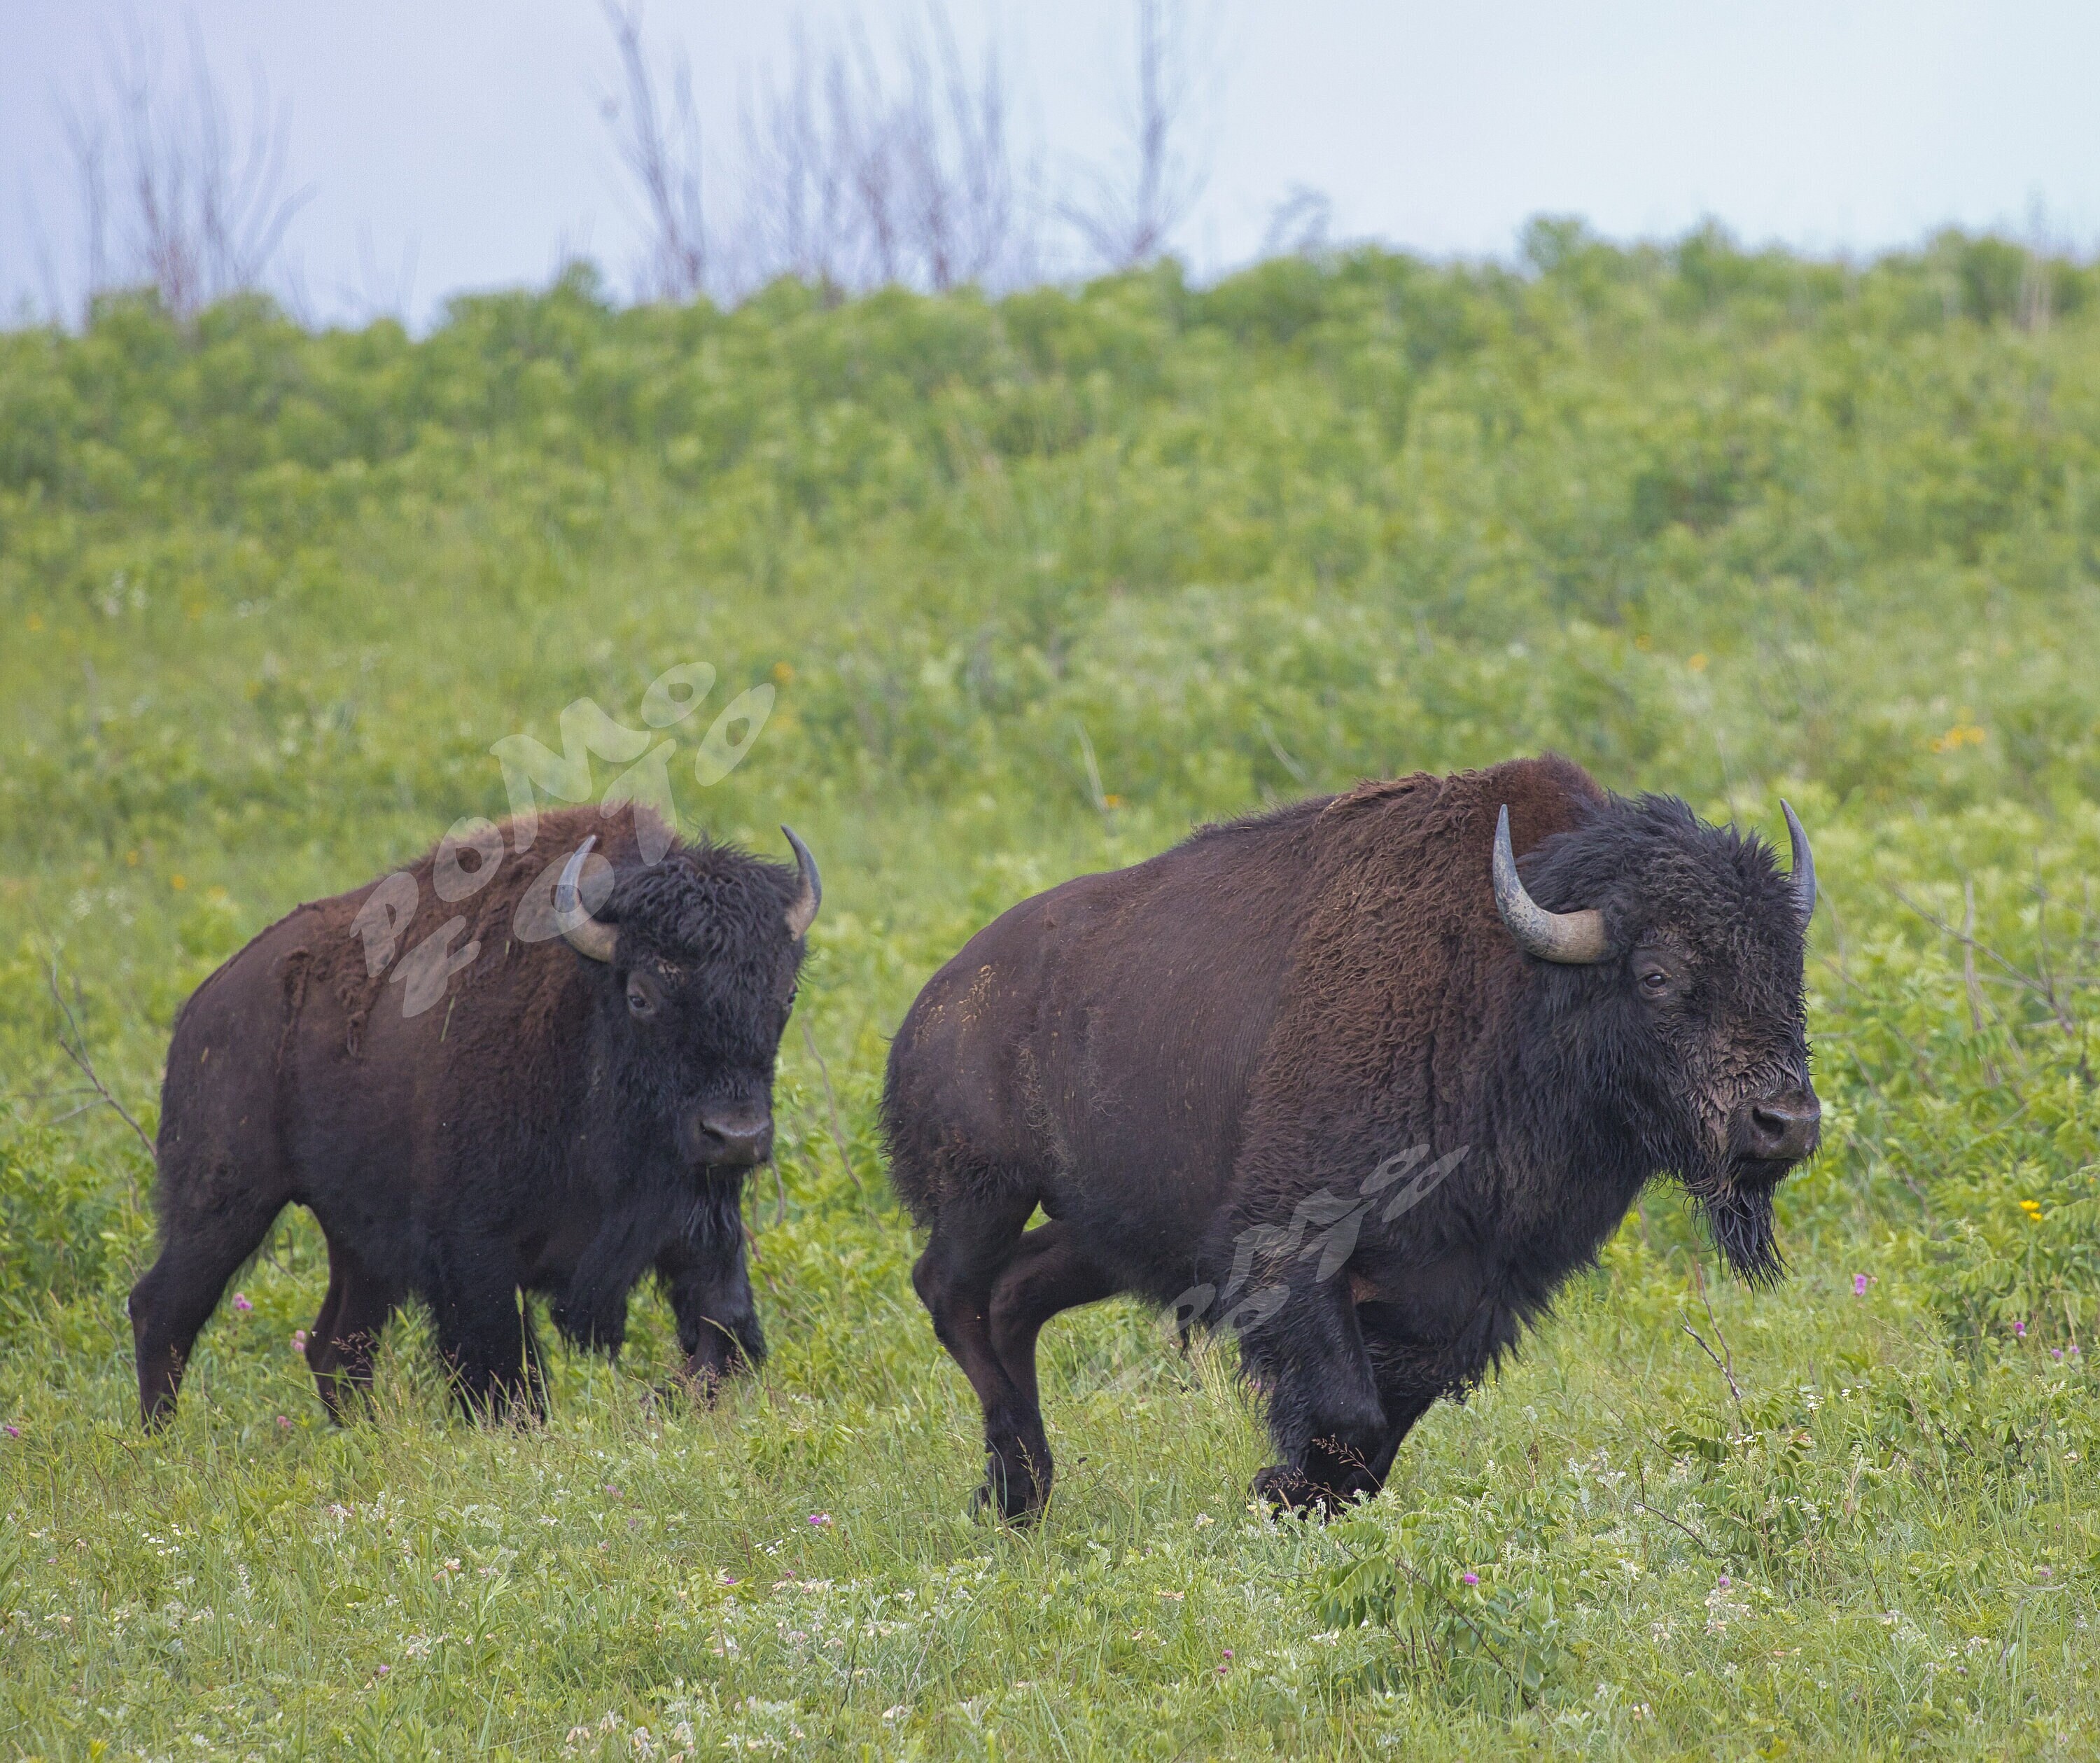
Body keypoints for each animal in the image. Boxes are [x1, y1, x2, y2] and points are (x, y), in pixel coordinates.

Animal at [131, 803, 818, 1427]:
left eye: (785, 995)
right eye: (641, 995)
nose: (736, 1135)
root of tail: (204, 1005)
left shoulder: (698, 1235)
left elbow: (723, 1336)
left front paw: (654, 1407)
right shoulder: (474, 1253)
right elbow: (508, 1376)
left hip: (359, 1239)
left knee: (336, 1347)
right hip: (226, 1204)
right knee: (161, 1309)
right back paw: (162, 1444)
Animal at [882, 756, 1819, 1519]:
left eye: (1788, 970)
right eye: (1657, 975)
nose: (1786, 1123)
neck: (1514, 983)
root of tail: (939, 1002)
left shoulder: (1465, 1292)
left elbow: (1380, 1425)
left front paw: (1292, 1495)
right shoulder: (1294, 1246)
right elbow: (1347, 1410)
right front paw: (1279, 1492)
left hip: (1108, 1230)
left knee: (1014, 1297)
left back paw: (1024, 1494)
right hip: (984, 1194)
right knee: (951, 1290)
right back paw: (1013, 1490)